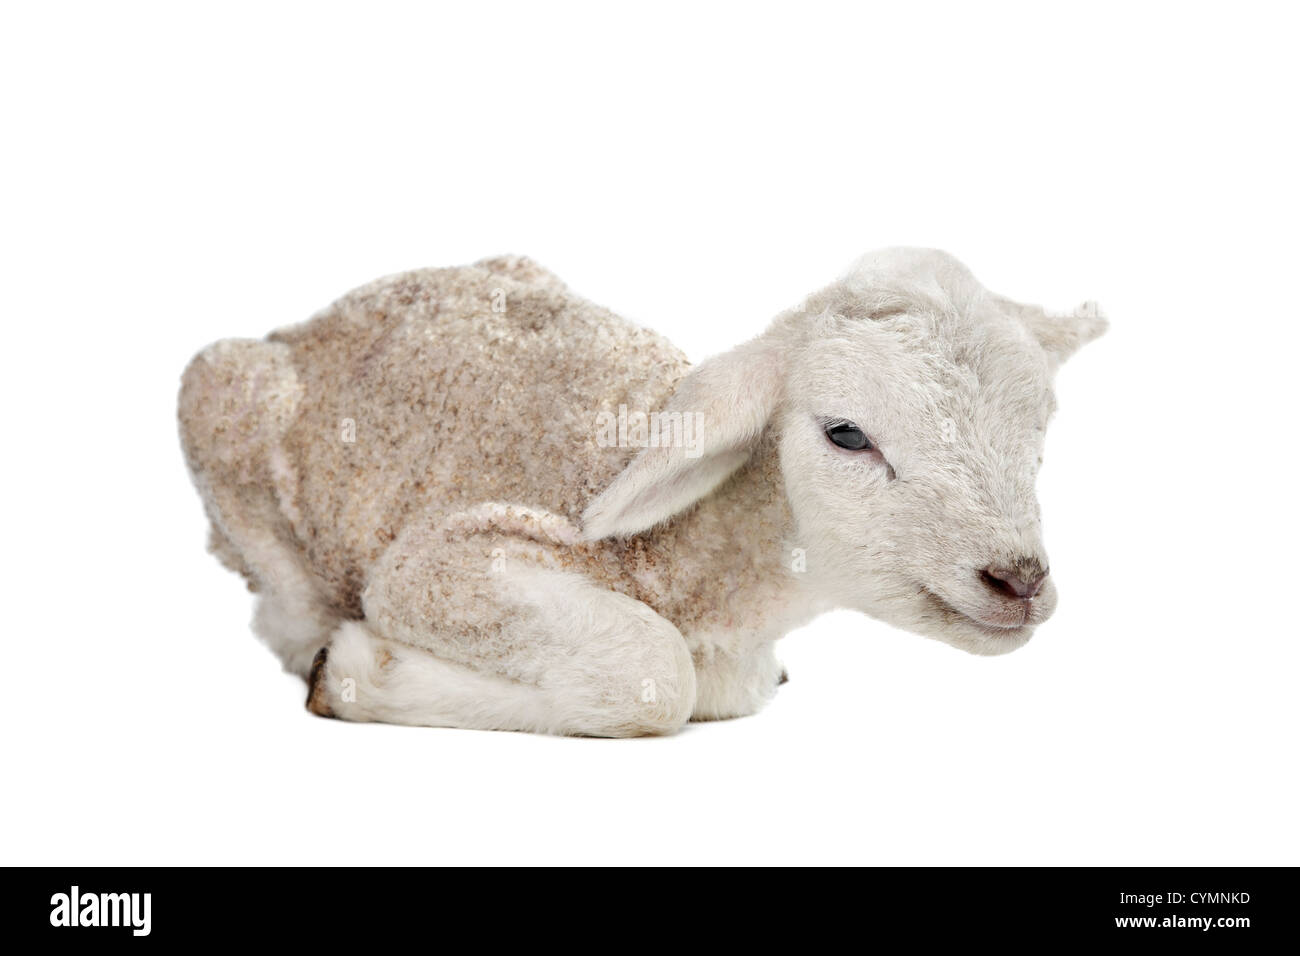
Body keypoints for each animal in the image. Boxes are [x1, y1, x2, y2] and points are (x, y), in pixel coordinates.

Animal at [178, 249, 1106, 736]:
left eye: (1040, 436)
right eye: (847, 433)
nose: (1019, 580)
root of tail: (304, 325)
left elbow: (728, 682)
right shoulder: (439, 564)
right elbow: (653, 671)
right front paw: (356, 669)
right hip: (221, 397)